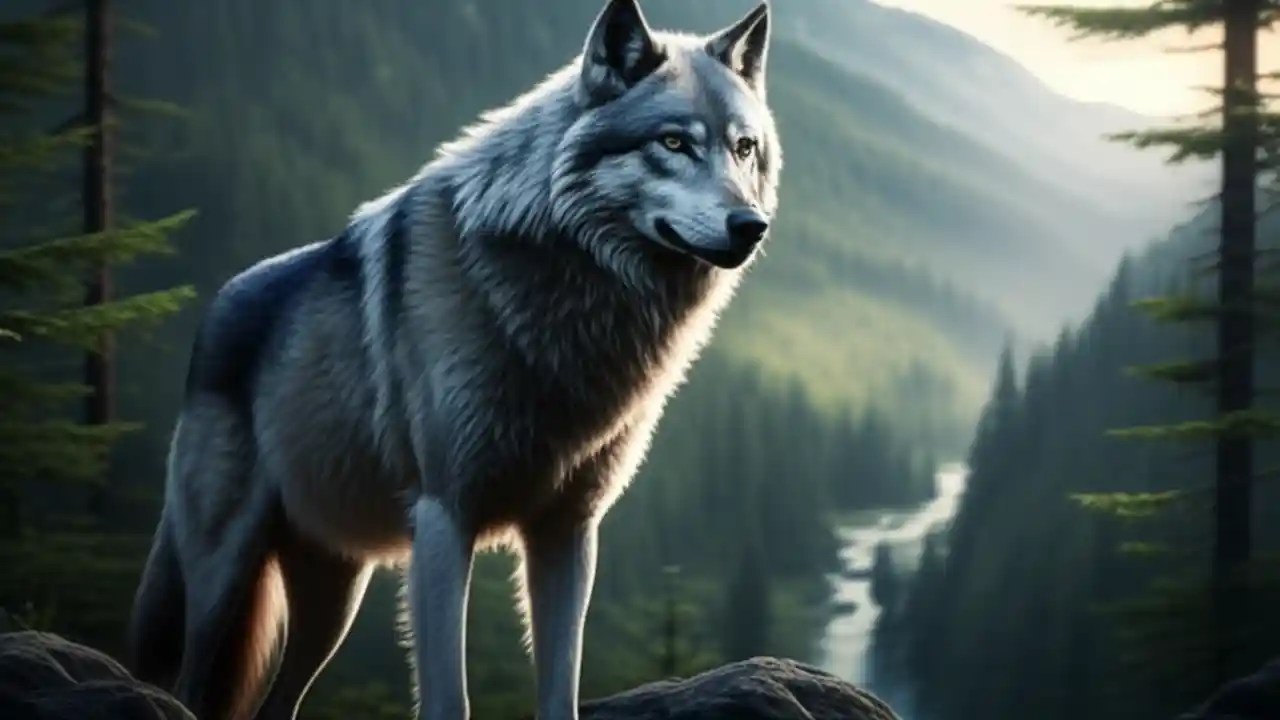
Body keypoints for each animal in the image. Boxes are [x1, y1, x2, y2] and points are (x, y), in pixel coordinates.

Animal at [127, 1, 779, 718]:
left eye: (743, 148)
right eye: (672, 143)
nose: (751, 226)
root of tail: (216, 305)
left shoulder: (569, 530)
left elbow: (560, 687)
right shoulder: (445, 518)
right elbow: (448, 695)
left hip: (334, 597)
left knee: (280, 701)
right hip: (223, 577)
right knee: (190, 683)